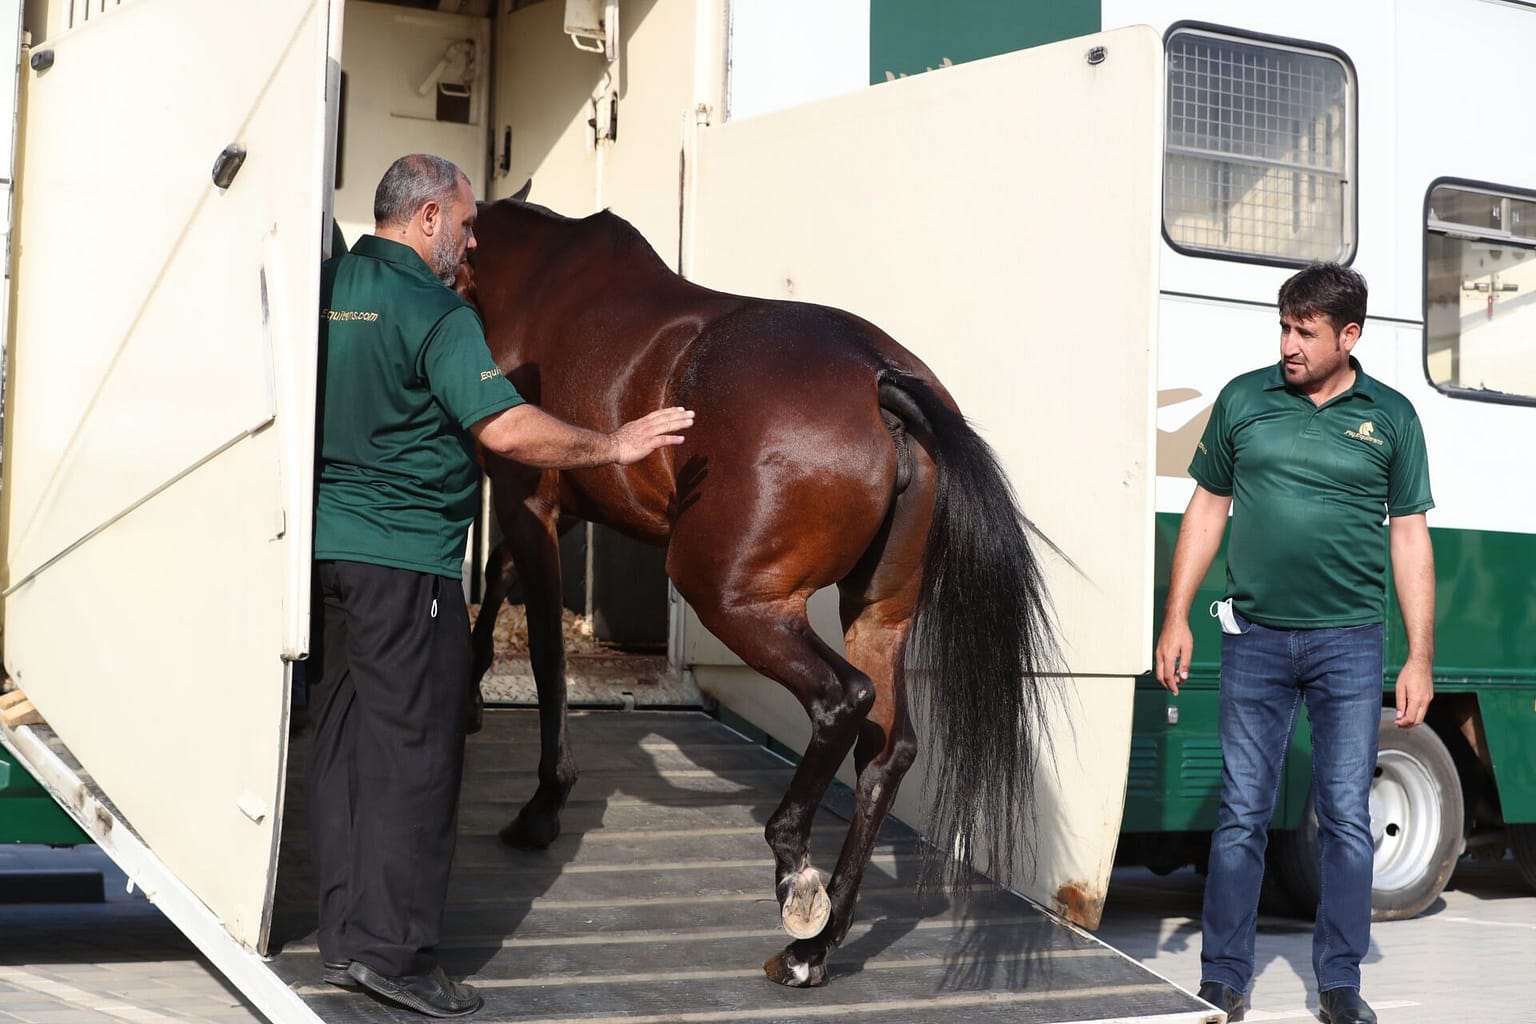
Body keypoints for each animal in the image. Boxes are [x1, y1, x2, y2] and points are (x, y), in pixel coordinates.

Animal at [460, 189, 1058, 988]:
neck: (540, 280)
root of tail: (878, 377)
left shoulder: (530, 502)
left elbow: (547, 655)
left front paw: (543, 803)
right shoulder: (567, 508)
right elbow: (499, 577)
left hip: (731, 598)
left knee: (842, 700)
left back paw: (793, 866)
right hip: (877, 616)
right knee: (888, 748)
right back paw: (815, 948)